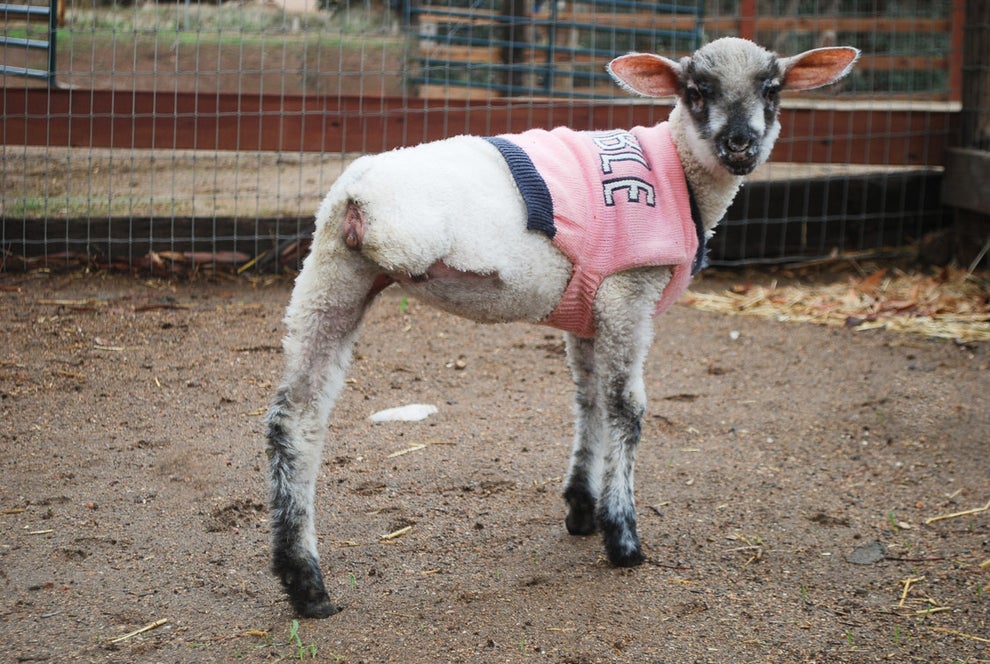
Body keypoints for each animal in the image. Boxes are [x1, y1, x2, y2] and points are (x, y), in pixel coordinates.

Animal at [265, 37, 860, 618]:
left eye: (772, 90)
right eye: (697, 90)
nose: (740, 144)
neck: (679, 173)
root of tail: (356, 194)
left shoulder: (589, 308)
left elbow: (588, 400)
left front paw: (581, 509)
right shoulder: (627, 292)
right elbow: (625, 409)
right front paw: (622, 536)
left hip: (331, 276)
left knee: (295, 419)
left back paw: (305, 583)